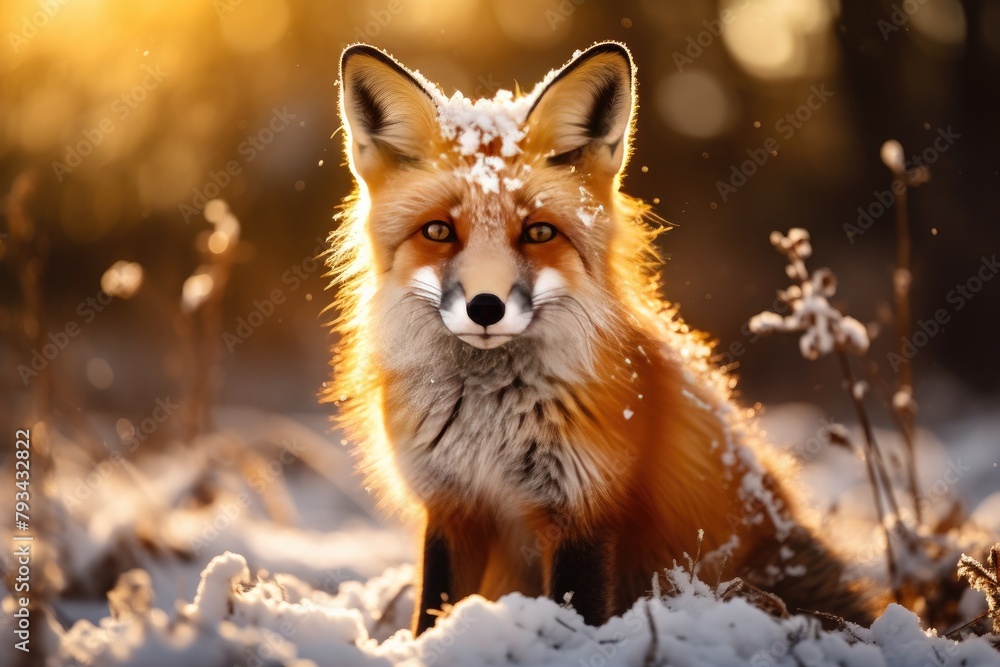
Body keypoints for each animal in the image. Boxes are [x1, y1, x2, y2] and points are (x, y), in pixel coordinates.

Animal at [327, 41, 879, 636]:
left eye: (539, 232)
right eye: (438, 231)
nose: (486, 307)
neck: (488, 428)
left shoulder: (586, 509)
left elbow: (578, 615)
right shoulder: (453, 506)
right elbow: (433, 612)